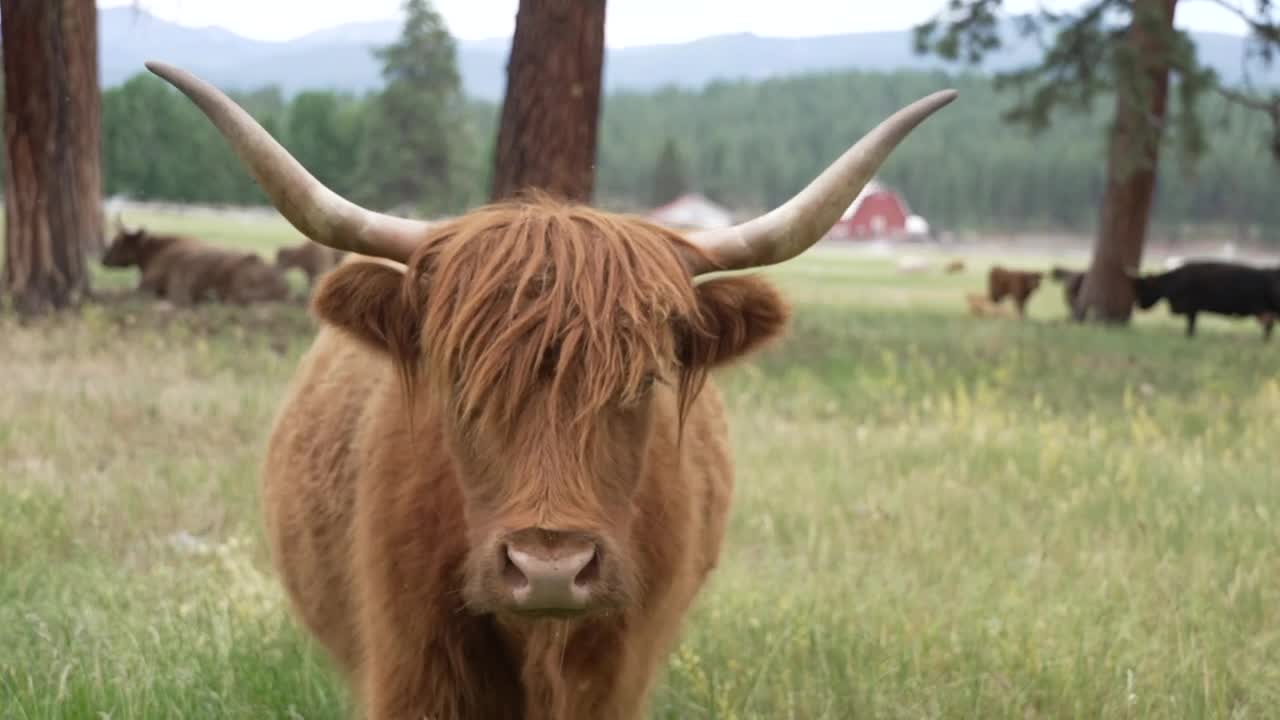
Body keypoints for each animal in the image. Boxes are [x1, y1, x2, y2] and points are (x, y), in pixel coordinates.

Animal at [1127, 260, 1280, 340]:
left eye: (1144, 288)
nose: (1139, 306)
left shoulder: (1191, 307)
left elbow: (1190, 326)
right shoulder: (1193, 309)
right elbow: (1191, 326)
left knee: (1269, 325)